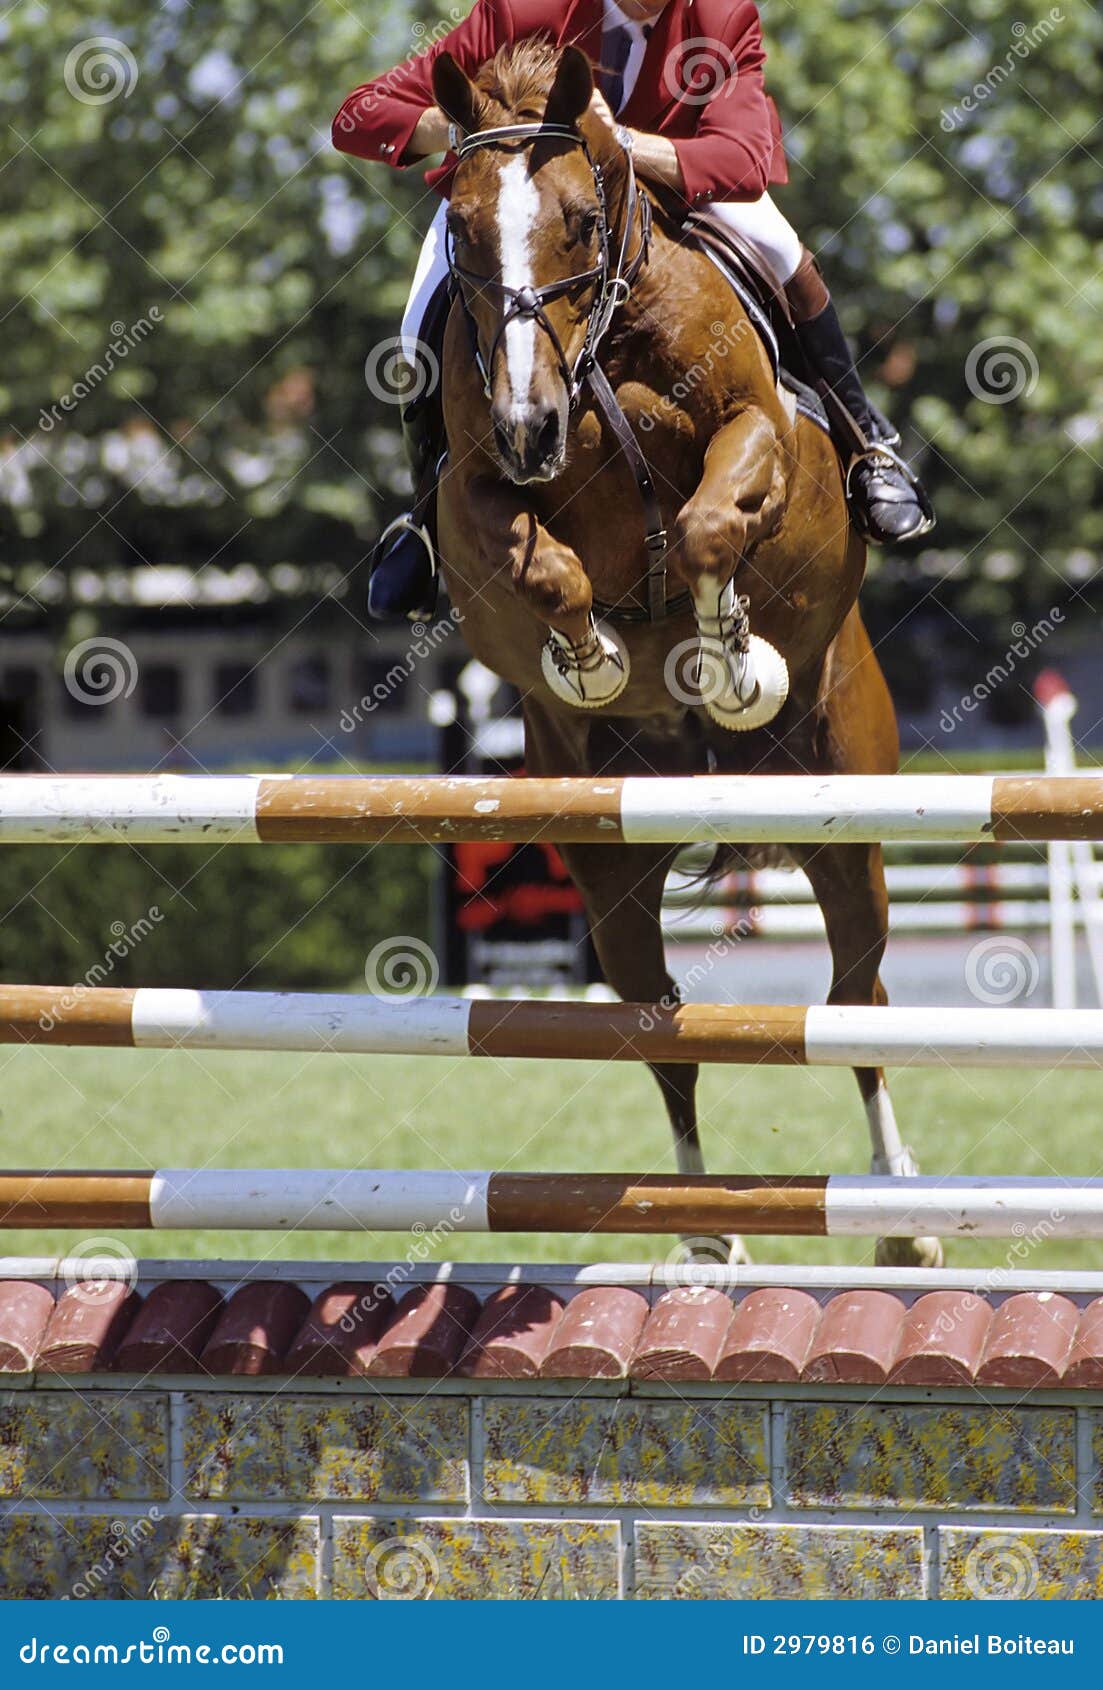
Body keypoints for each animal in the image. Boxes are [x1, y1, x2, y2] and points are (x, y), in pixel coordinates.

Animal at [424, 39, 941, 1267]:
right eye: (459, 226)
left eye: (579, 218)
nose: (530, 426)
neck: (599, 348)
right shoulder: (473, 490)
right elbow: (540, 564)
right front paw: (594, 661)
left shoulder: (756, 428)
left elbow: (708, 521)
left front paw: (729, 664)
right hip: (611, 873)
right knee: (657, 1029)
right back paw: (704, 1239)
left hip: (846, 822)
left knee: (856, 999)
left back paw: (900, 1221)